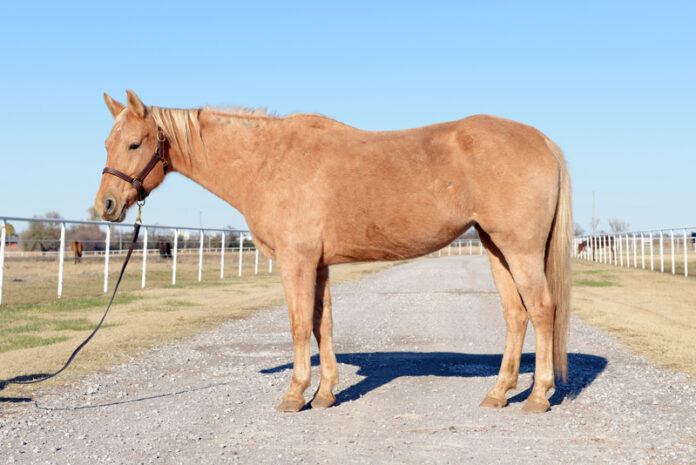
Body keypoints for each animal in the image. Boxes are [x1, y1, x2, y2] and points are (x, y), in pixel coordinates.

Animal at [95, 90, 572, 414]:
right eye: (107, 144)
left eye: (135, 143)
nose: (106, 206)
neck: (268, 161)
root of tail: (543, 141)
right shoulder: (319, 264)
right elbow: (321, 324)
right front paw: (325, 394)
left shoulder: (296, 261)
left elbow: (297, 324)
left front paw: (294, 394)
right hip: (496, 247)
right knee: (516, 314)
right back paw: (499, 392)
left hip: (520, 249)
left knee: (542, 309)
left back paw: (538, 396)